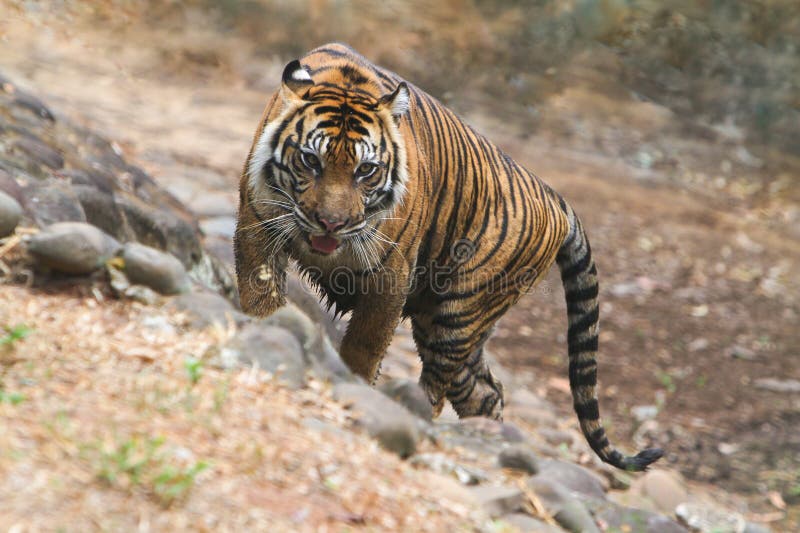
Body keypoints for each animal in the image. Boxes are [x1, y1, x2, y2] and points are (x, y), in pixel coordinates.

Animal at [234, 43, 663, 471]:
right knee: (487, 392)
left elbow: (364, 349)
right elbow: (261, 299)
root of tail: (556, 196)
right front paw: (266, 329)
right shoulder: (259, 227)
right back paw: (489, 440)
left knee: (439, 390)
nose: (331, 223)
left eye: (366, 170)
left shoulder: (389, 278)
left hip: (458, 316)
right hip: (445, 322)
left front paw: (356, 385)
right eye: (311, 161)